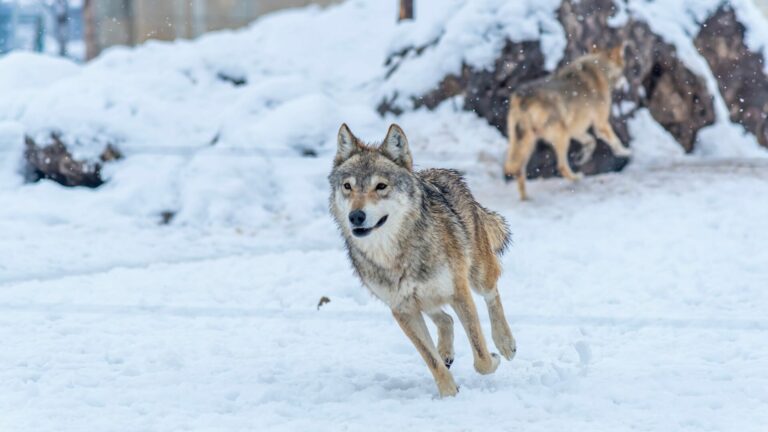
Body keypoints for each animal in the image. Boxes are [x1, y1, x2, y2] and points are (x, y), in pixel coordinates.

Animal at [329, 123, 516, 397]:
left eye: (381, 186)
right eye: (347, 186)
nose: (356, 216)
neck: (396, 255)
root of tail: (444, 172)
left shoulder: (460, 292)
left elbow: (481, 357)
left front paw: (494, 357)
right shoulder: (402, 309)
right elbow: (431, 361)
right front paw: (449, 394)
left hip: (477, 277)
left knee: (492, 294)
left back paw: (505, 344)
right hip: (425, 300)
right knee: (446, 320)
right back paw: (446, 353)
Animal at [503, 44, 633, 200]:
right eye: (624, 69)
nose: (626, 83)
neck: (600, 68)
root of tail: (523, 98)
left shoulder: (577, 128)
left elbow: (591, 142)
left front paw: (582, 157)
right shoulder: (600, 124)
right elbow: (614, 141)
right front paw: (625, 152)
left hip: (527, 142)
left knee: (517, 169)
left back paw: (525, 198)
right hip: (560, 137)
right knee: (561, 167)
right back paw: (577, 178)